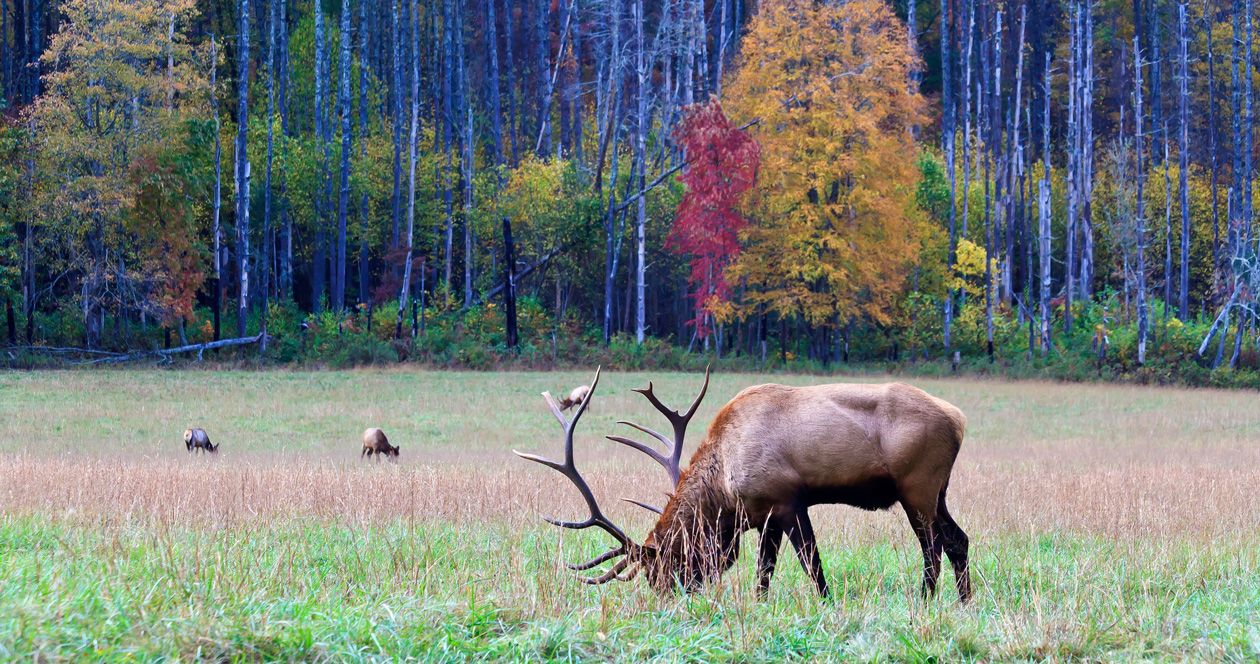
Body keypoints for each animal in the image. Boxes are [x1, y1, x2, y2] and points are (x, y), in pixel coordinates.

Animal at [514, 367, 971, 602]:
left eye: (665, 566)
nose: (667, 601)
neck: (725, 493)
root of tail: (958, 419)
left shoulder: (787, 501)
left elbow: (812, 565)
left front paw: (827, 603)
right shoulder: (764, 514)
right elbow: (764, 571)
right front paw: (760, 605)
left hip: (917, 487)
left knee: (932, 548)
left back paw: (925, 600)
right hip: (939, 492)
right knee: (958, 540)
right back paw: (964, 601)